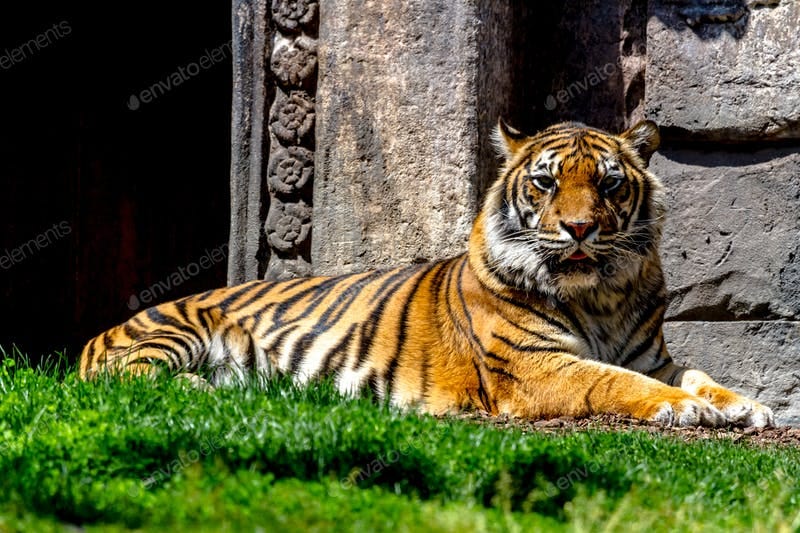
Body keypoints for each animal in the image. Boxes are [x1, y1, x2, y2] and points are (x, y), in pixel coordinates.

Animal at [79, 120, 774, 428]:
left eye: (607, 185)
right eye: (546, 183)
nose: (579, 229)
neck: (600, 295)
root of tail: (97, 333)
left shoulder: (652, 355)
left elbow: (699, 374)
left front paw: (746, 404)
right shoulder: (535, 367)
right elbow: (614, 383)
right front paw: (686, 410)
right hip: (178, 330)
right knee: (128, 380)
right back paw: (203, 388)